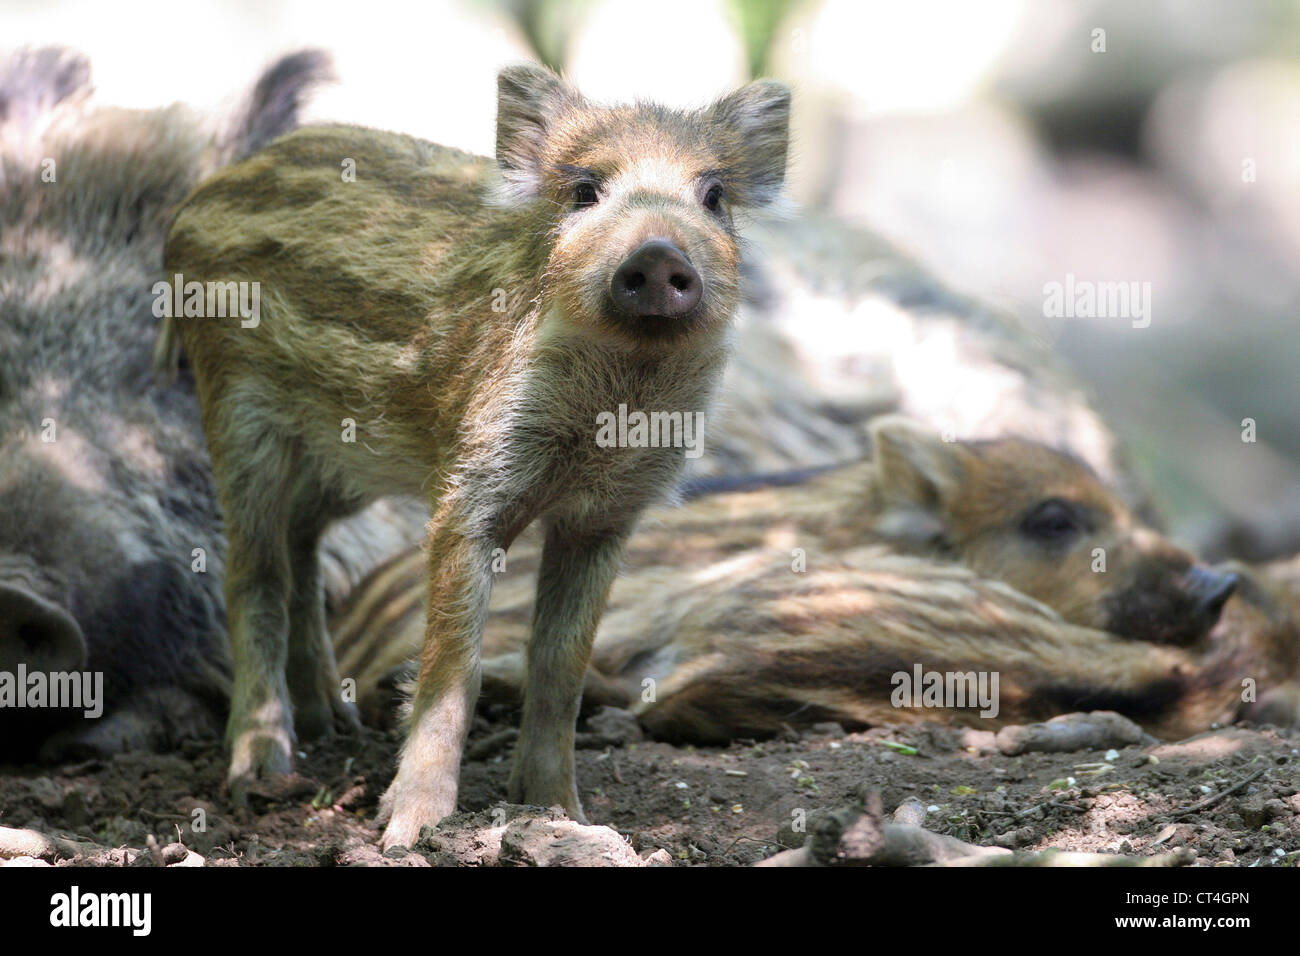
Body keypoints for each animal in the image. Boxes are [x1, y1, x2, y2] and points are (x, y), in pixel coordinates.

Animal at [159, 63, 792, 847]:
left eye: (714, 195)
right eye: (584, 190)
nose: (657, 255)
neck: (612, 403)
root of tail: (201, 197)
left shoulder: (607, 516)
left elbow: (562, 664)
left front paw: (560, 812)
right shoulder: (472, 491)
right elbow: (451, 665)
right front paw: (410, 831)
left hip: (344, 456)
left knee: (301, 542)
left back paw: (333, 722)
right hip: (237, 414)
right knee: (254, 571)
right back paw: (262, 771)